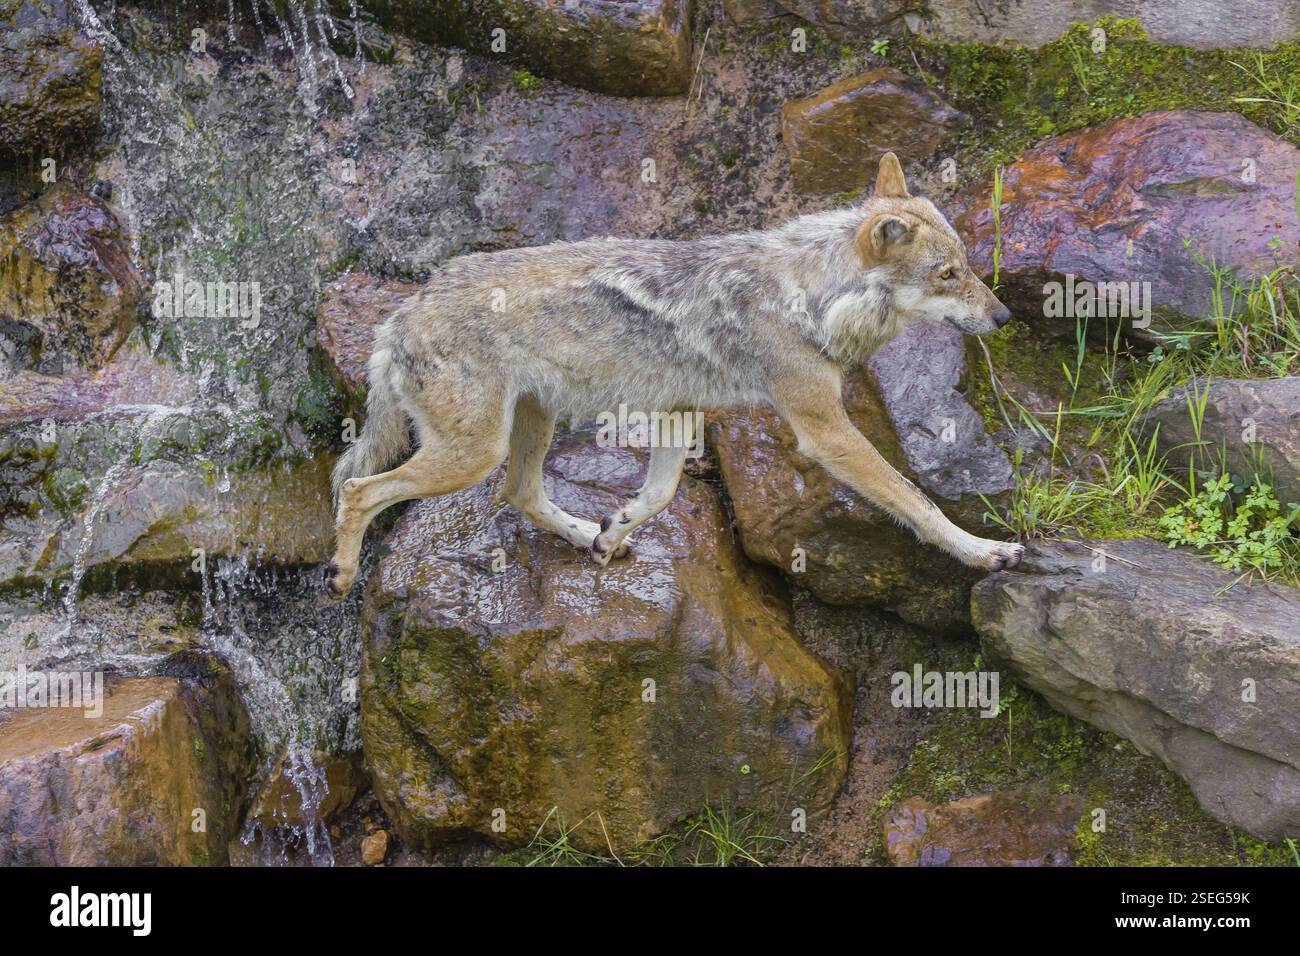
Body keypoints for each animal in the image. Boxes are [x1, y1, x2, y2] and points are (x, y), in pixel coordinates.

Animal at [325, 153, 1022, 595]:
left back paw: (587, 536)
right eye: (948, 275)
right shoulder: (824, 430)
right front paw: (985, 552)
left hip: (529, 425)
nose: (1005, 315)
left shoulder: (679, 411)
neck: (809, 297)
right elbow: (915, 500)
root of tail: (397, 317)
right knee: (358, 489)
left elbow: (659, 494)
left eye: (967, 265)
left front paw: (613, 532)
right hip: (475, 452)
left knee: (517, 493)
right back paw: (339, 574)